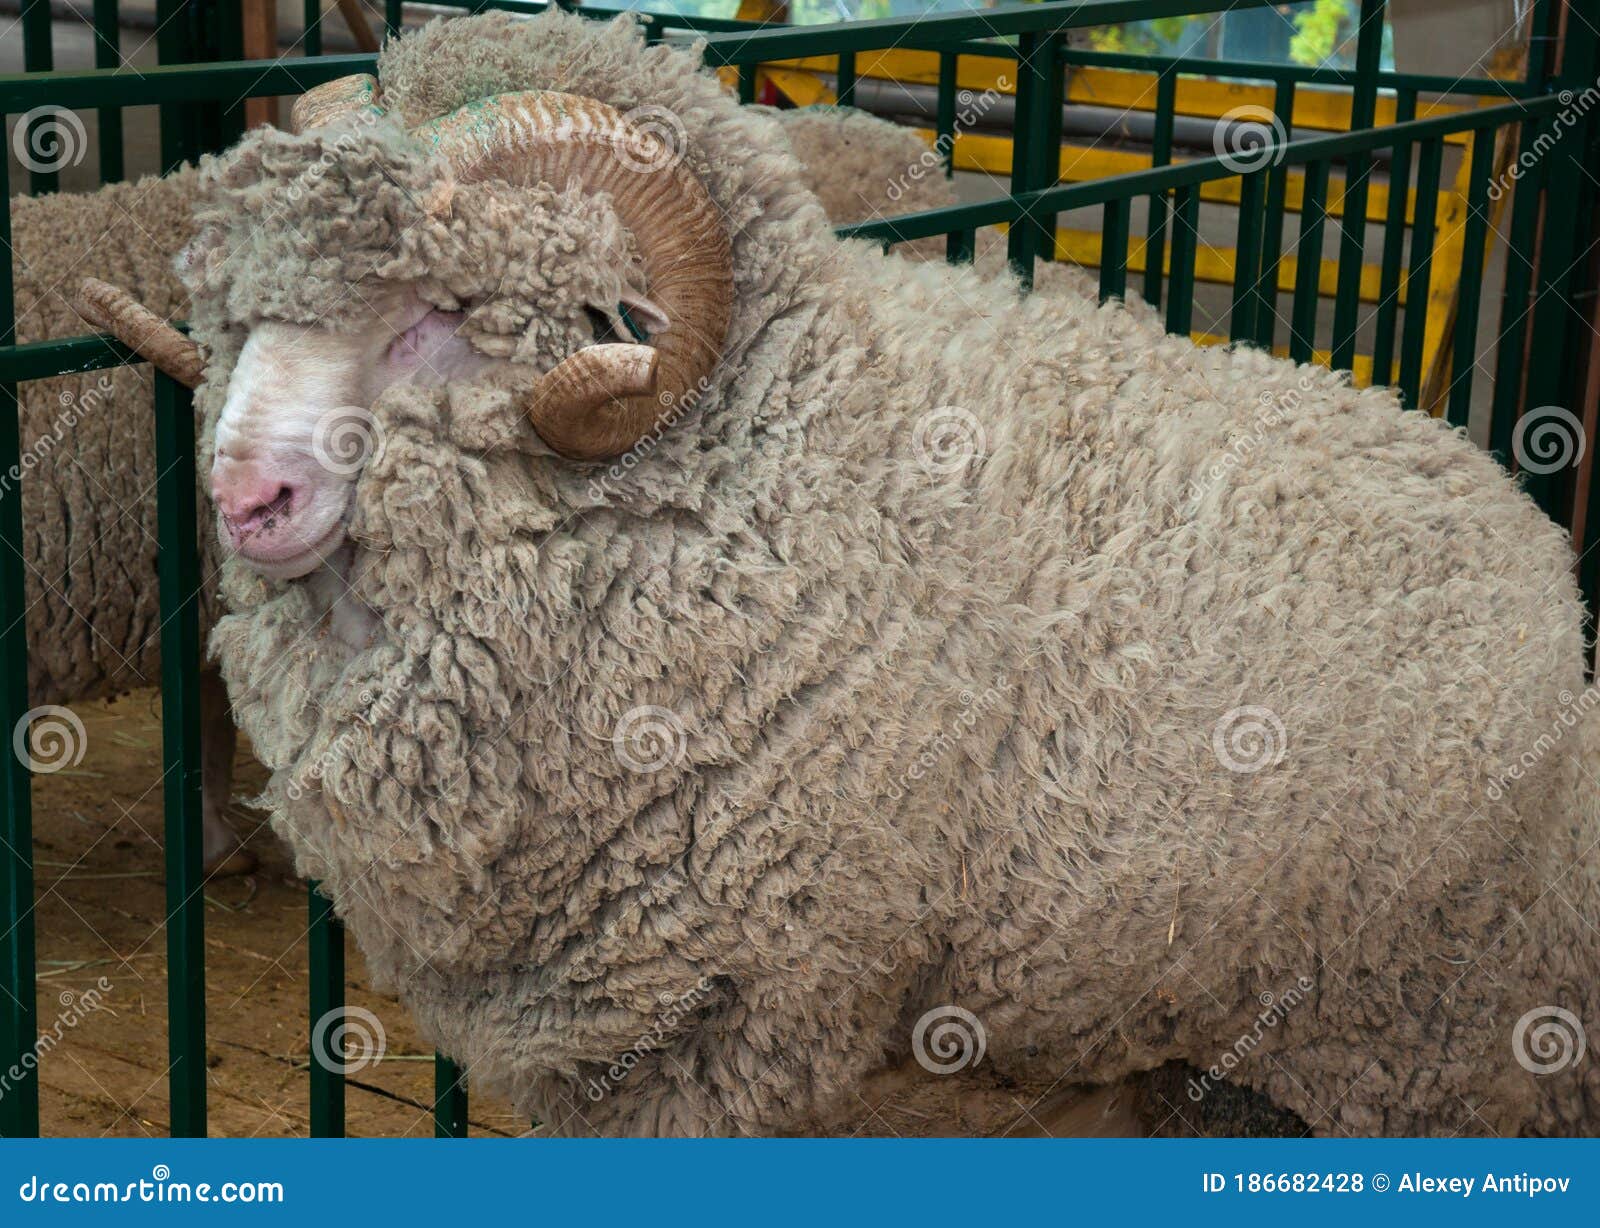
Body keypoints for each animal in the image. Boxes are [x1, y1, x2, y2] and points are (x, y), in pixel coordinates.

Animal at [90, 9, 1600, 1138]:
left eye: (444, 315)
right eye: (236, 310)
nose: (244, 498)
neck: (761, 471)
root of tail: (1527, 537)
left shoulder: (722, 1020)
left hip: (1410, 1031)